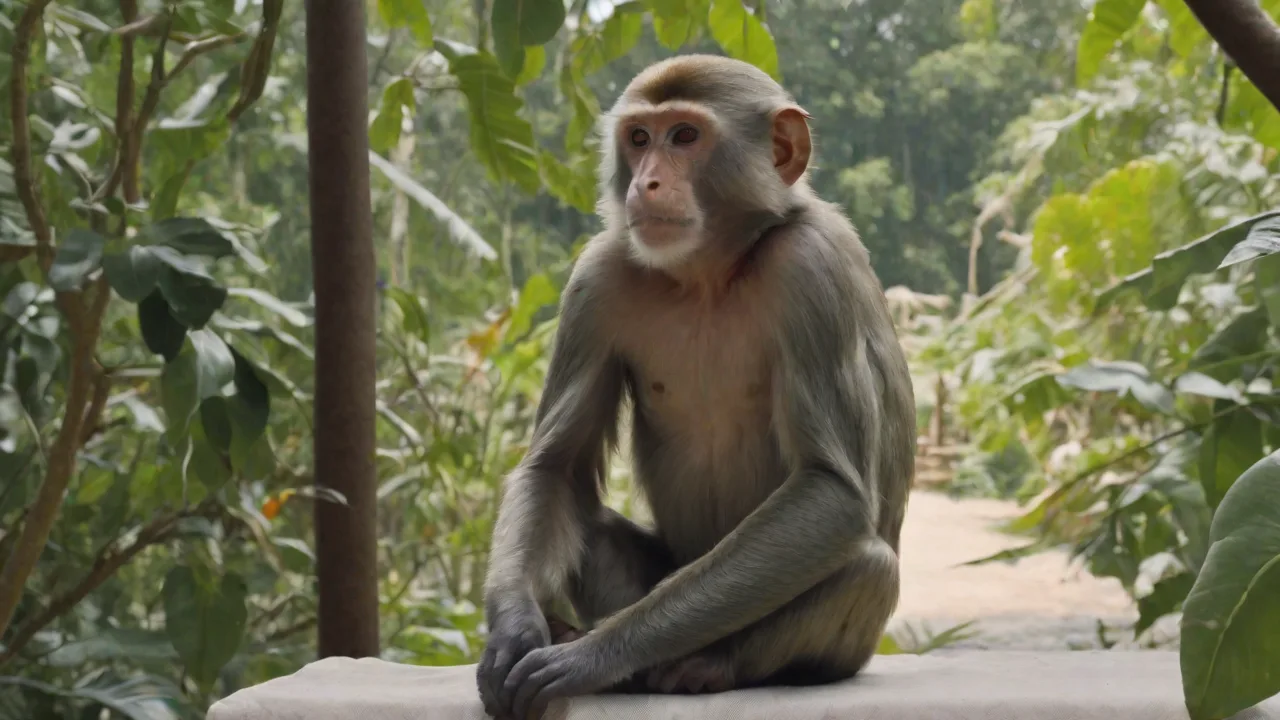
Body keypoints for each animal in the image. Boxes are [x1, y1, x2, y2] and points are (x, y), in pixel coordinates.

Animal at [475, 54, 915, 720]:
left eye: (685, 136)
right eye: (639, 139)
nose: (646, 183)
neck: (710, 272)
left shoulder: (811, 267)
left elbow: (831, 491)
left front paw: (591, 657)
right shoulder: (598, 275)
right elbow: (557, 464)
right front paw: (514, 629)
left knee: (868, 567)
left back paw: (704, 664)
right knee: (586, 519)